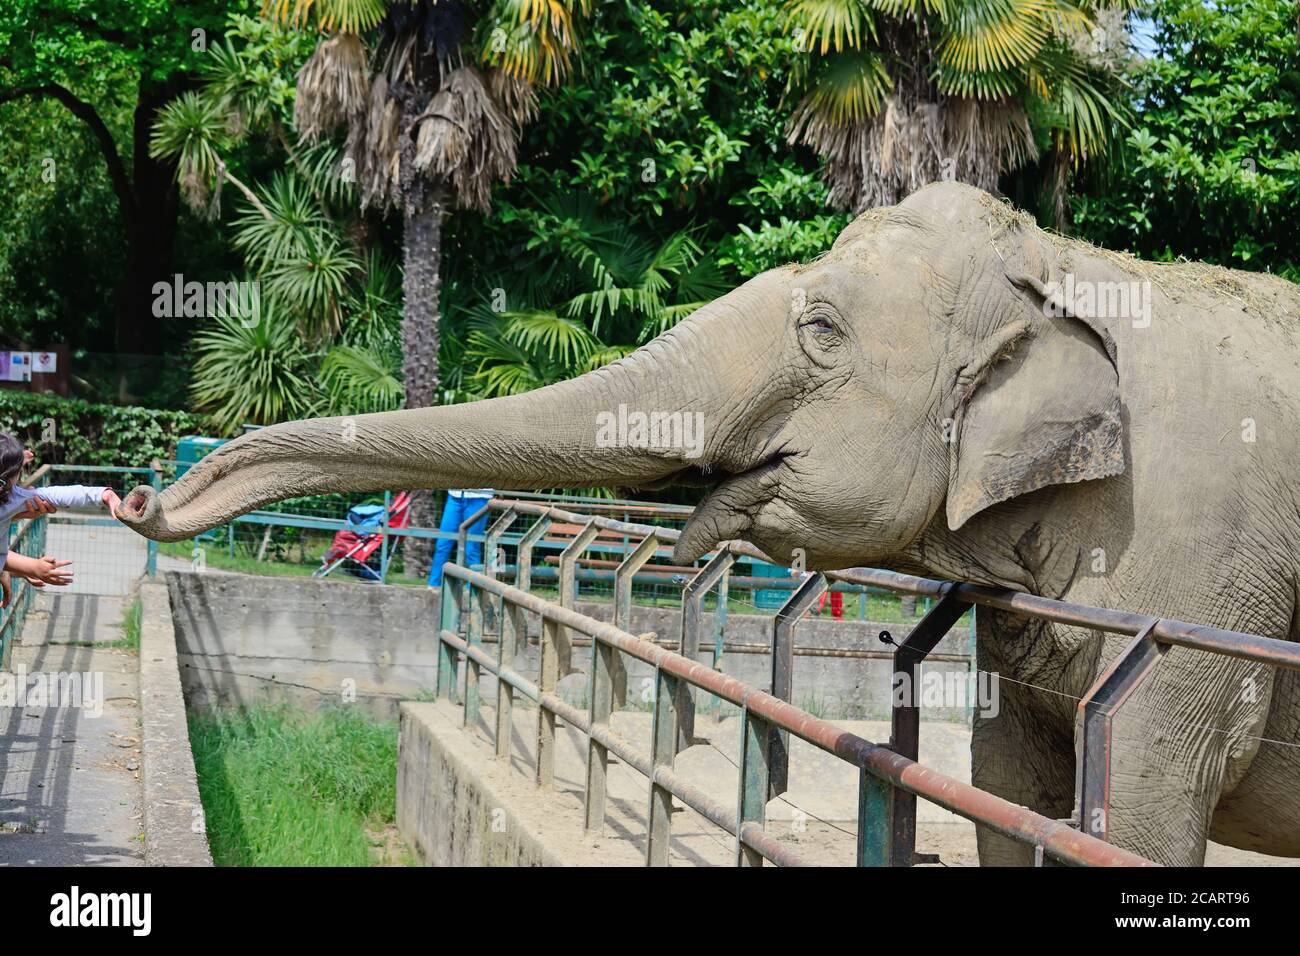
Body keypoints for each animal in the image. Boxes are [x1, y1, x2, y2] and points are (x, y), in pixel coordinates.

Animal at [119, 181, 1300, 867]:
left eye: (820, 330)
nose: (141, 503)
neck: (1070, 261)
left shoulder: (1200, 582)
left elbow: (1139, 814)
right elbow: (1006, 790)